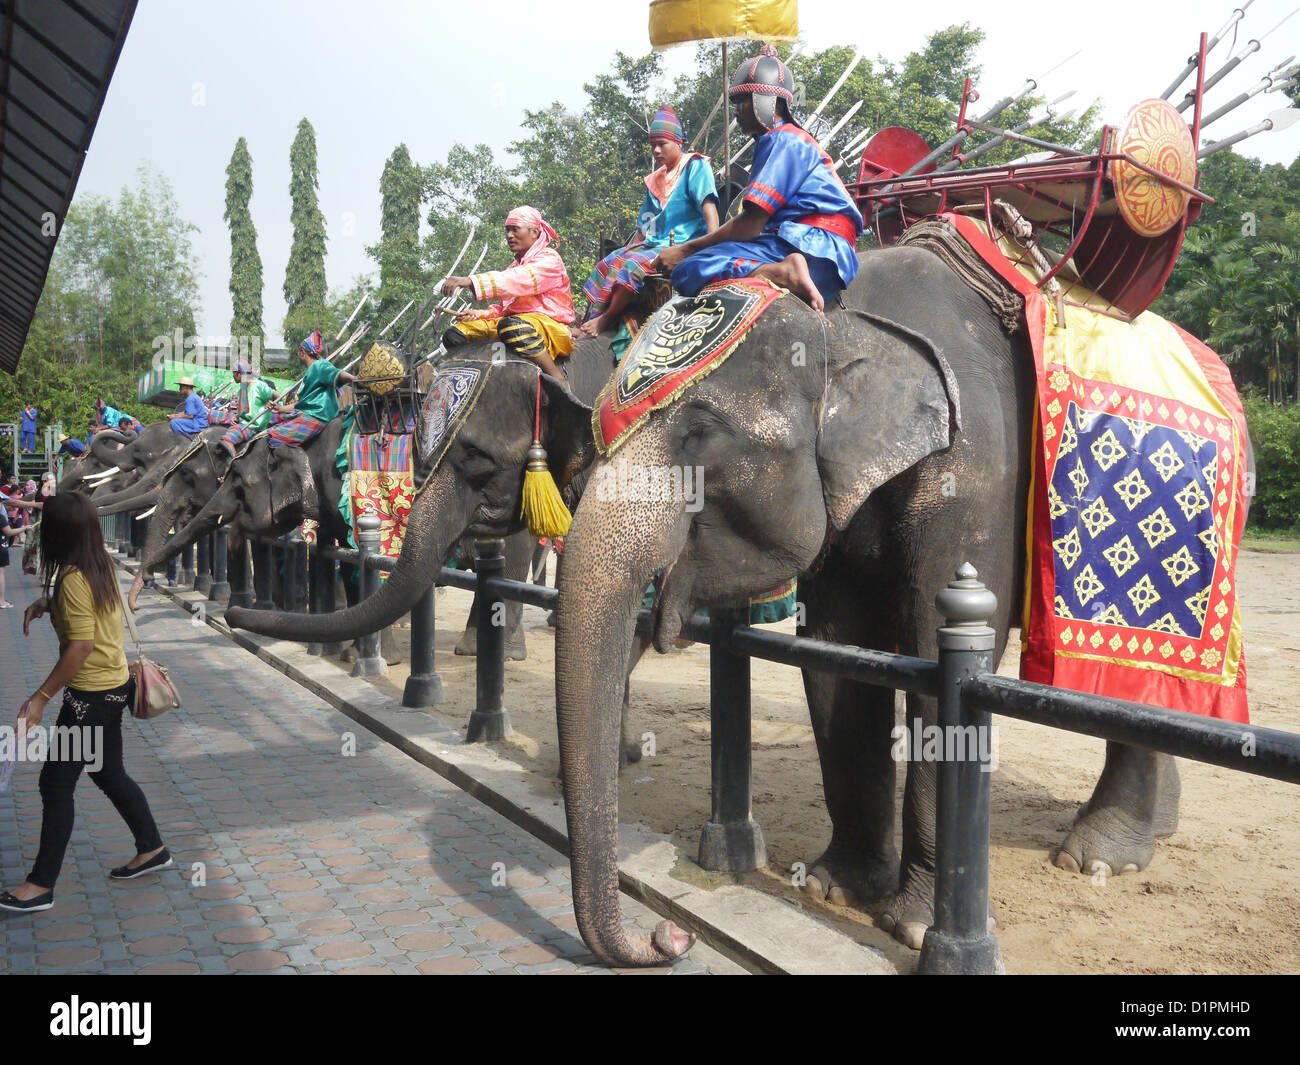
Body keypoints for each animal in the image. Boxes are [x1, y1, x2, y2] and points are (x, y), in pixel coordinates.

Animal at [549, 244, 1223, 967]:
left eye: (699, 432)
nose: (671, 935)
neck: (841, 319)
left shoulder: (977, 468)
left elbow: (936, 653)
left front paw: (914, 928)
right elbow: (836, 657)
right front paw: (836, 888)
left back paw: (1098, 859)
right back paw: (1156, 828)